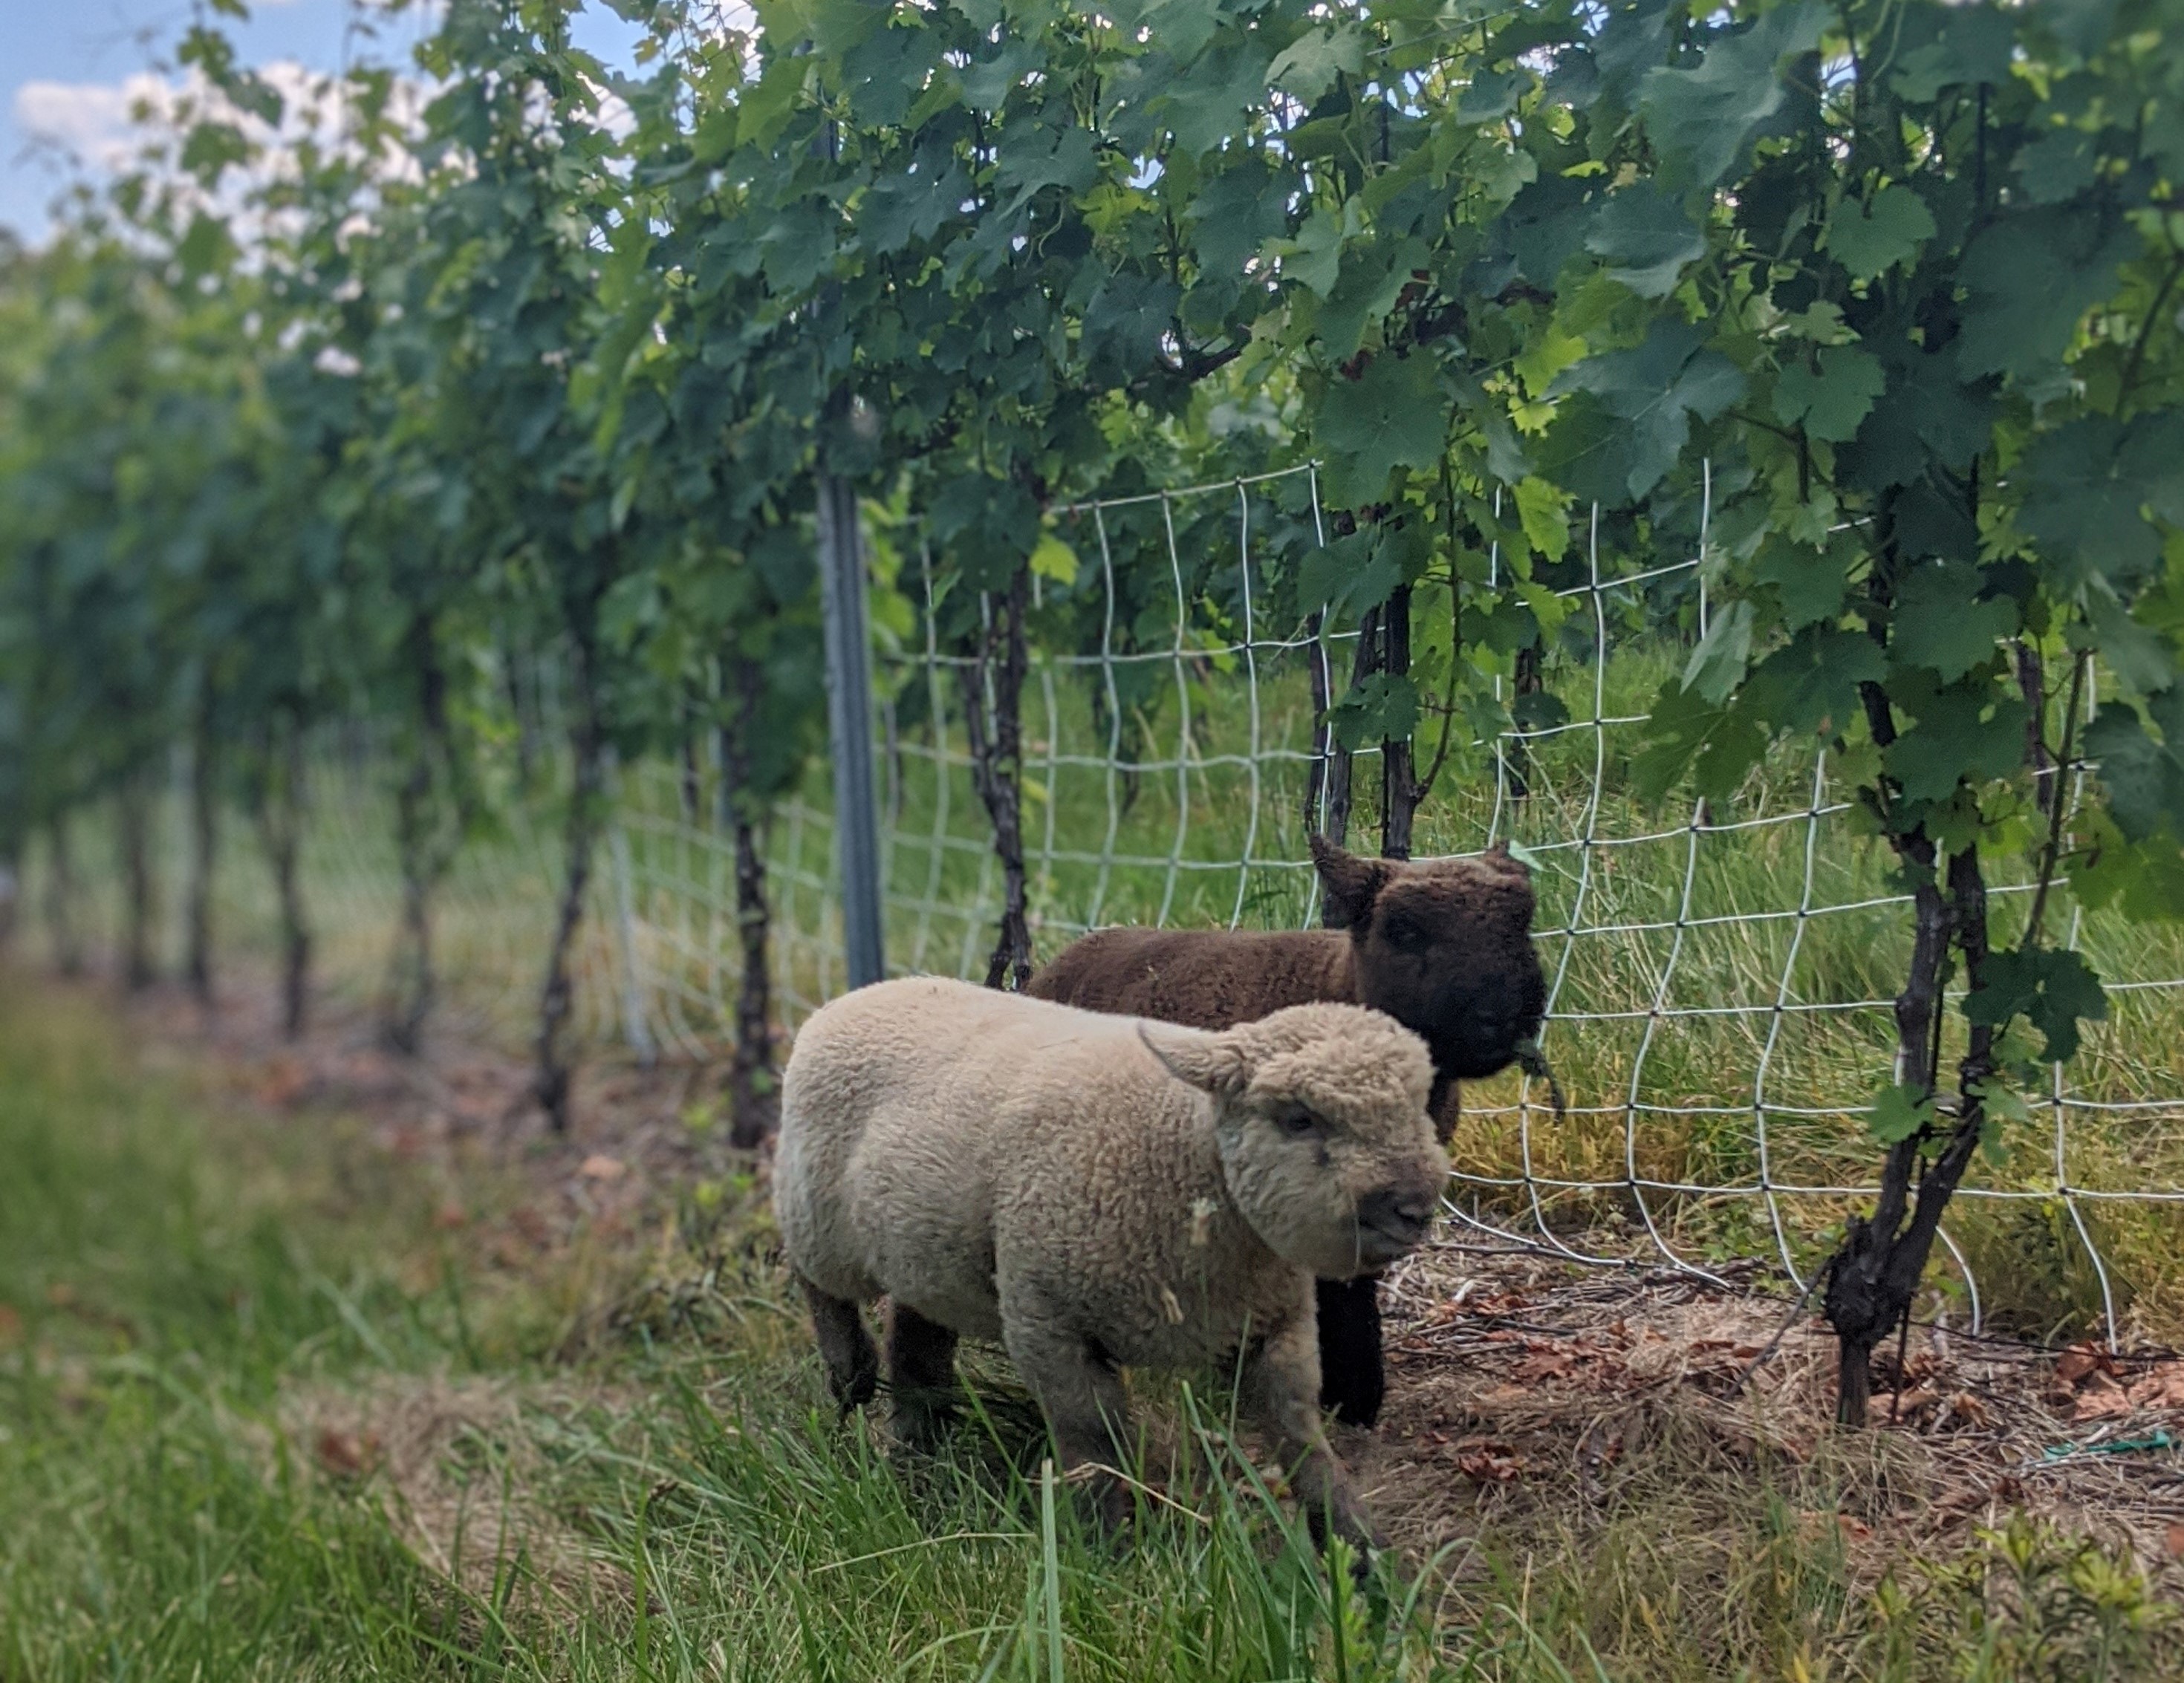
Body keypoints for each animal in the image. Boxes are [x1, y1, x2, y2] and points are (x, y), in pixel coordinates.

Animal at [773, 975, 1448, 1553]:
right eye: (1299, 1118)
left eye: (1418, 1106)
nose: (1414, 1208)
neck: (1185, 1150)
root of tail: (861, 994)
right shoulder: (1048, 1321)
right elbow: (1093, 1438)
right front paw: (1107, 1548)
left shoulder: (1273, 1326)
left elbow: (1303, 1439)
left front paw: (1363, 1555)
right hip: (817, 1215)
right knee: (818, 1285)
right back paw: (851, 1372)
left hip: (929, 1249)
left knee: (919, 1345)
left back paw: (919, 1455)